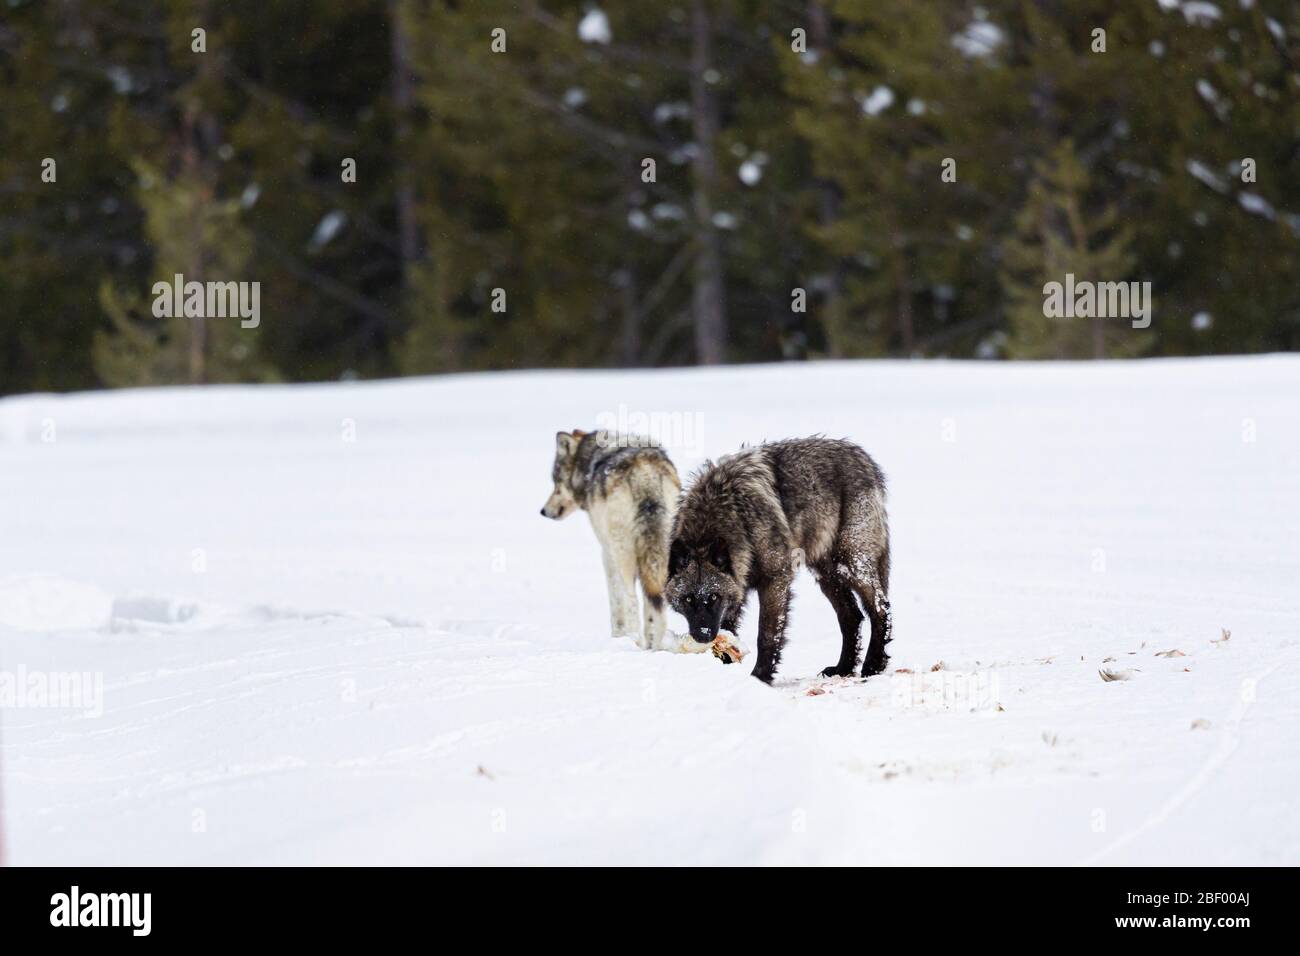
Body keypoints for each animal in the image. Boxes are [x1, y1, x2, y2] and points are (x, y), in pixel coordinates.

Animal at [541, 430, 681, 649]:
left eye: (556, 482)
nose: (543, 511)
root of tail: (645, 473)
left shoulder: (607, 553)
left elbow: (616, 602)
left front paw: (618, 636)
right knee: (657, 603)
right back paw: (656, 646)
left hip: (623, 554)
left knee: (631, 600)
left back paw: (634, 642)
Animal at [666, 437, 891, 683]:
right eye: (688, 599)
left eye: (713, 597)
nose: (703, 635)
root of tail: (862, 456)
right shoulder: (737, 588)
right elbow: (728, 631)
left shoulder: (775, 581)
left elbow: (767, 635)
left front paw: (759, 678)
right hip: (827, 574)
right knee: (852, 616)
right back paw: (843, 668)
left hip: (851, 564)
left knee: (880, 607)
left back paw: (873, 665)